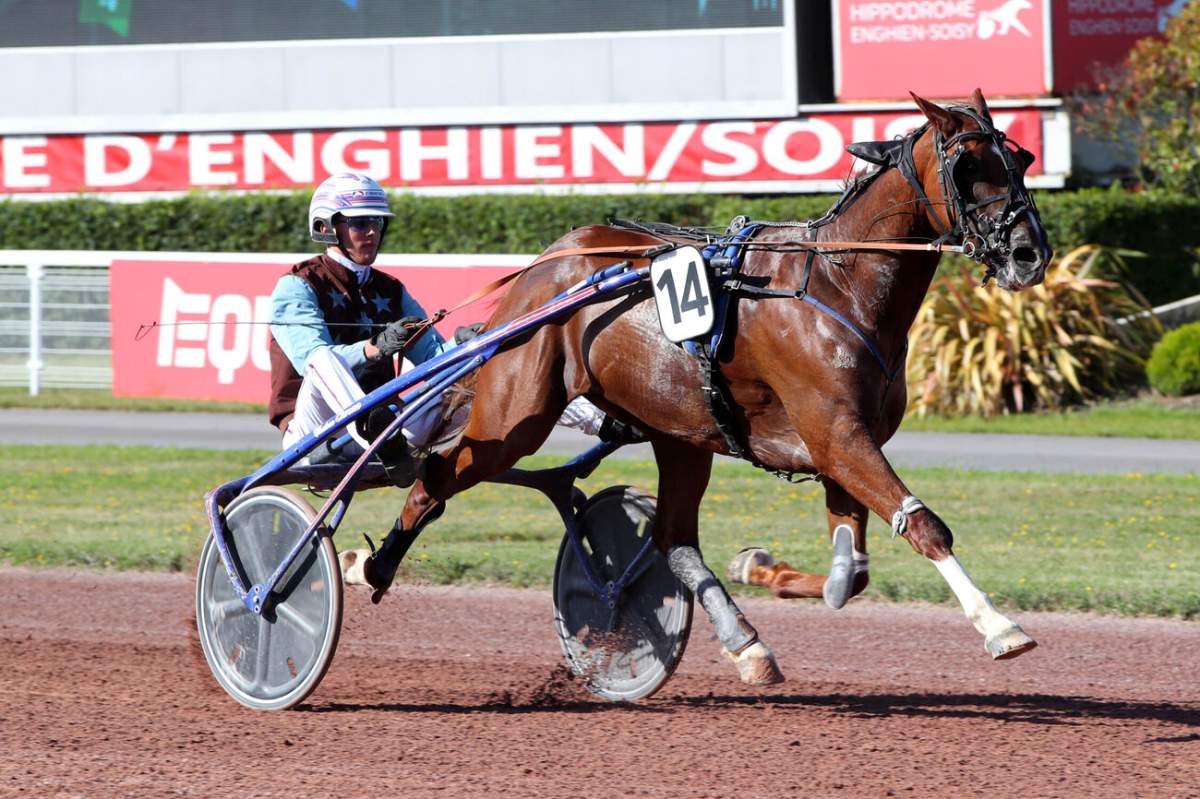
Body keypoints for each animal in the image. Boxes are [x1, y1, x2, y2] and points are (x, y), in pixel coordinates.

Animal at [356, 89, 1053, 686]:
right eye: (967, 165)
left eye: (1020, 158)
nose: (1030, 253)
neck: (838, 284)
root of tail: (546, 263)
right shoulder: (837, 437)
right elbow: (924, 525)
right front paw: (1000, 626)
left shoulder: (842, 448)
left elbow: (847, 577)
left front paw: (763, 567)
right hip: (515, 417)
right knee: (438, 475)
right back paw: (373, 564)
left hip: (680, 431)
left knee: (673, 540)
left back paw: (746, 644)